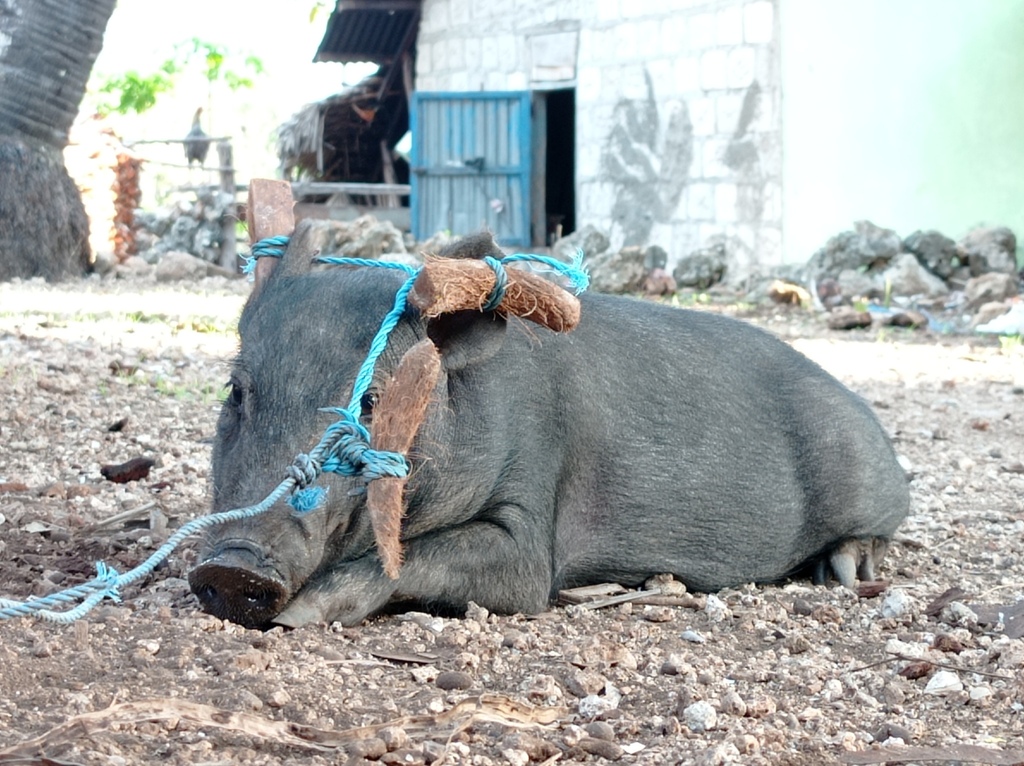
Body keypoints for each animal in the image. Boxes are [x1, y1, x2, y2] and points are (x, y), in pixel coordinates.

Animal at [189, 226, 909, 629]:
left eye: (372, 405)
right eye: (236, 392)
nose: (233, 567)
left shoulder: (531, 516)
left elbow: (473, 566)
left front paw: (300, 618)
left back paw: (847, 571)